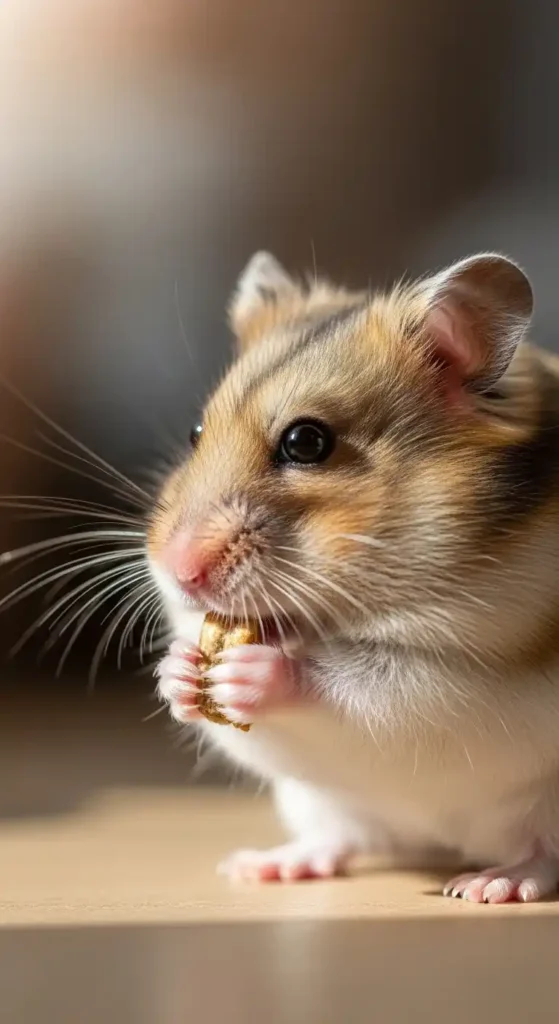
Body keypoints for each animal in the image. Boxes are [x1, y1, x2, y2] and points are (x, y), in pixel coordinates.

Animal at [149, 249, 559, 902]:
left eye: (306, 442)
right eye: (196, 434)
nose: (179, 571)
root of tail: (446, 847)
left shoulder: (458, 691)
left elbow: (364, 686)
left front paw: (249, 670)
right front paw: (182, 670)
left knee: (542, 856)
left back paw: (489, 885)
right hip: (315, 802)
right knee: (340, 840)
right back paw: (261, 867)